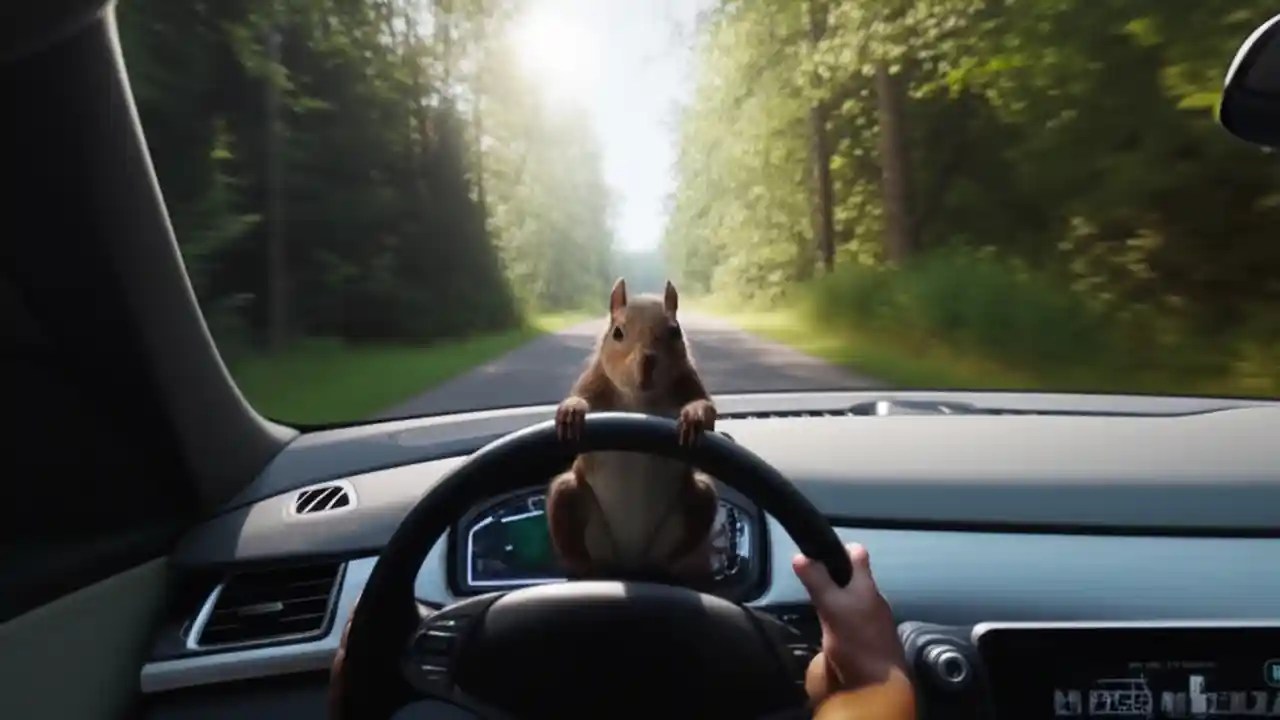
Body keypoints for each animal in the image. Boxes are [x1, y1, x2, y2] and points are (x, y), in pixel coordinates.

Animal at [545, 278, 719, 585]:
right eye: (617, 332)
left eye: (675, 331)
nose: (646, 363)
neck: (640, 401)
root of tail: (631, 564)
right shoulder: (595, 380)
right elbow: (579, 397)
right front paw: (571, 411)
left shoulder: (688, 382)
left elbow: (706, 409)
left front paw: (695, 416)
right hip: (570, 500)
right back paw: (587, 570)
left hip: (696, 501)